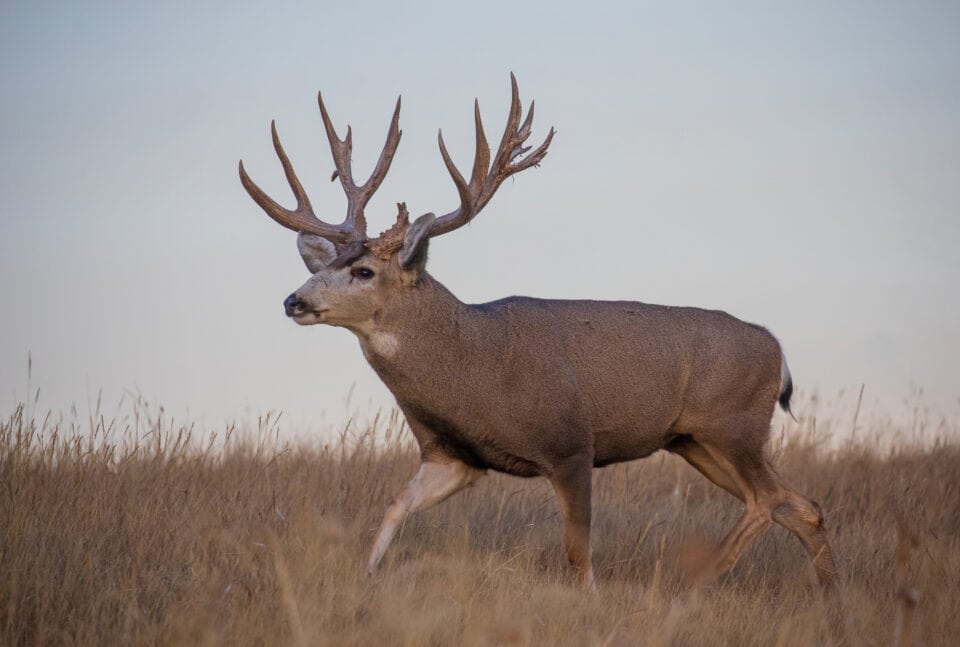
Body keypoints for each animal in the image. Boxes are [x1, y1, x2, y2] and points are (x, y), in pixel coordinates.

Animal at [238, 75, 837, 592]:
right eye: (328, 263)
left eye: (363, 271)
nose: (294, 301)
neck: (474, 365)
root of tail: (777, 352)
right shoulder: (453, 455)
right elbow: (392, 507)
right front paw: (360, 581)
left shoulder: (571, 443)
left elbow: (578, 552)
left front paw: (592, 601)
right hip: (696, 440)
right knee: (803, 506)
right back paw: (828, 595)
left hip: (732, 425)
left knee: (767, 502)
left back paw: (694, 584)